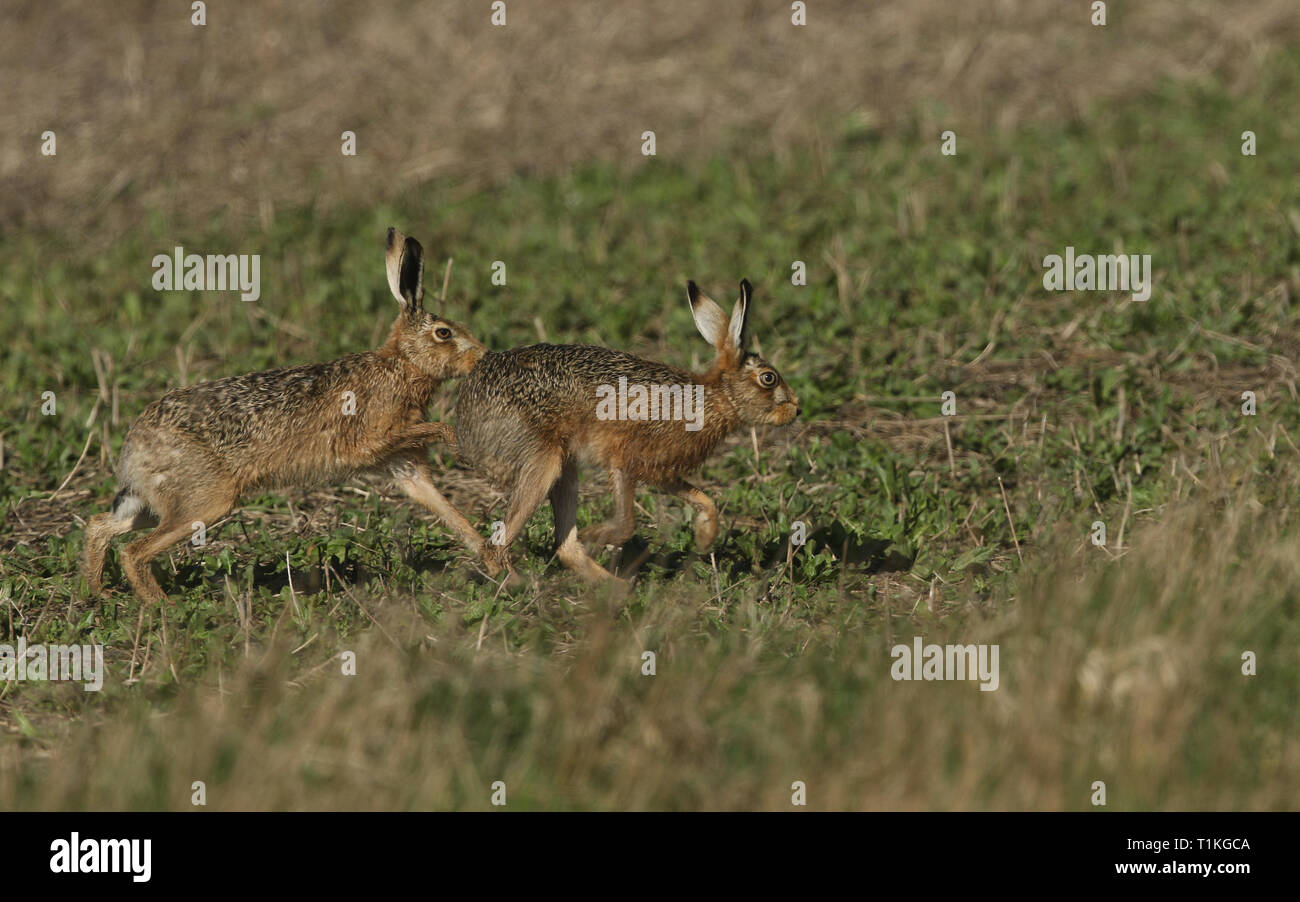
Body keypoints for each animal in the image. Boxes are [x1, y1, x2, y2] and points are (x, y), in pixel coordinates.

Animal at [82, 228, 488, 604]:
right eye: (444, 333)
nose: (482, 356)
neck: (403, 365)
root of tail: (135, 447)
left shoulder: (404, 464)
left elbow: (443, 507)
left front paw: (495, 562)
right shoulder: (372, 440)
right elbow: (430, 431)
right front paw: (457, 441)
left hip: (154, 503)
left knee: (100, 526)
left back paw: (99, 592)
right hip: (204, 501)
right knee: (134, 553)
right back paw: (162, 607)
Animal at [455, 278, 799, 583]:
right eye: (768, 378)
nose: (795, 409)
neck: (712, 399)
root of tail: (466, 419)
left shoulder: (664, 471)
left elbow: (705, 500)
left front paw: (704, 538)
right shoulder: (625, 458)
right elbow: (626, 522)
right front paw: (596, 535)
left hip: (564, 466)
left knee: (564, 547)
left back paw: (617, 589)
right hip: (543, 461)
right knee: (496, 546)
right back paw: (522, 584)